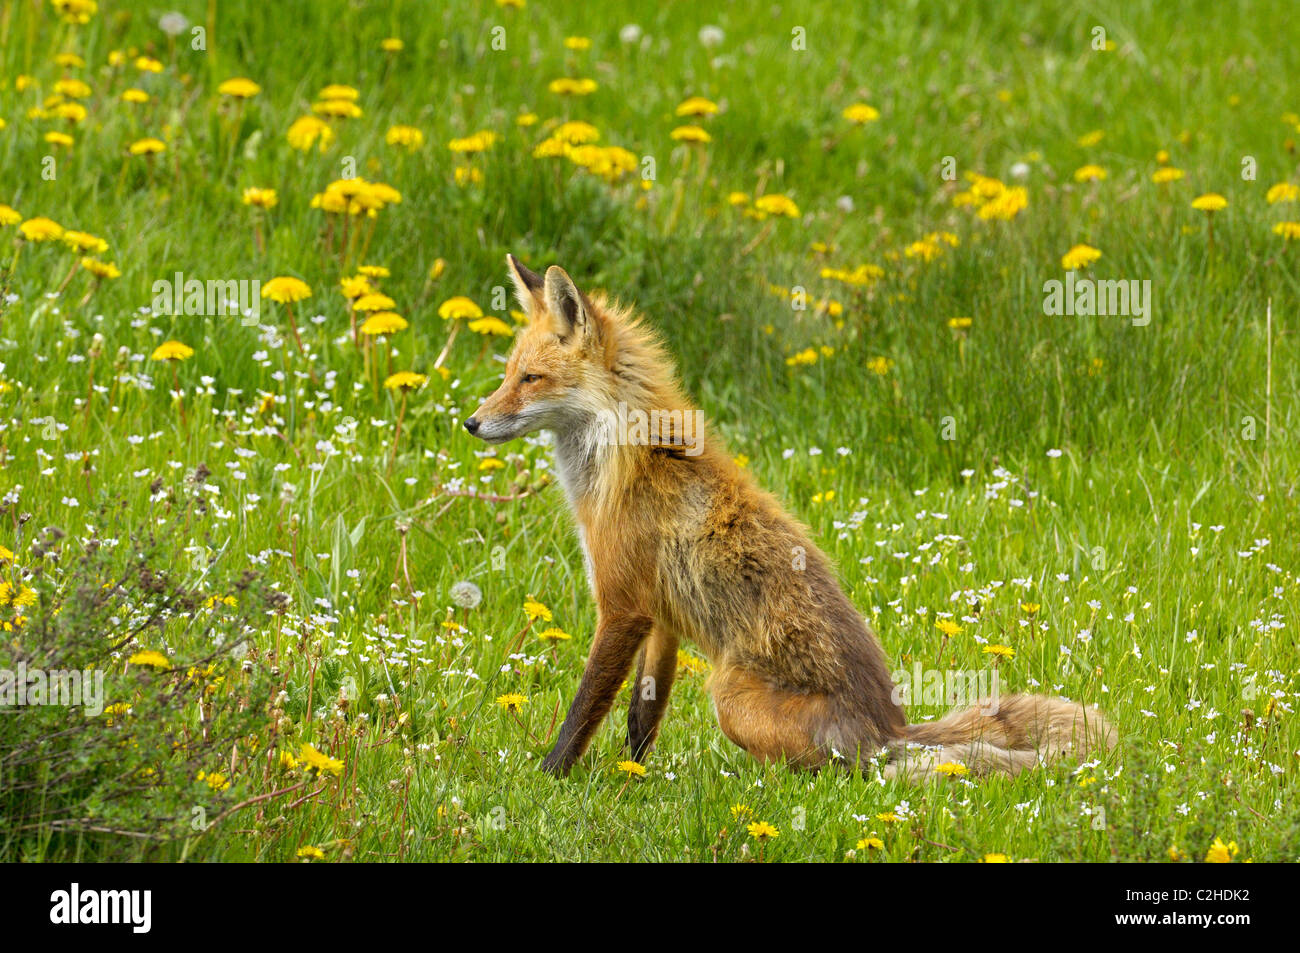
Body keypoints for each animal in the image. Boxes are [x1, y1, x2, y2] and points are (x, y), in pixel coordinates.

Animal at [465, 255, 1117, 779]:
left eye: (530, 378)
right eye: (507, 374)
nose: (471, 423)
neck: (628, 457)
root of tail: (888, 727)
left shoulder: (623, 606)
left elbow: (583, 709)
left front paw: (550, 778)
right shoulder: (661, 616)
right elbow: (641, 715)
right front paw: (635, 774)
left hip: (730, 693)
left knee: (843, 773)